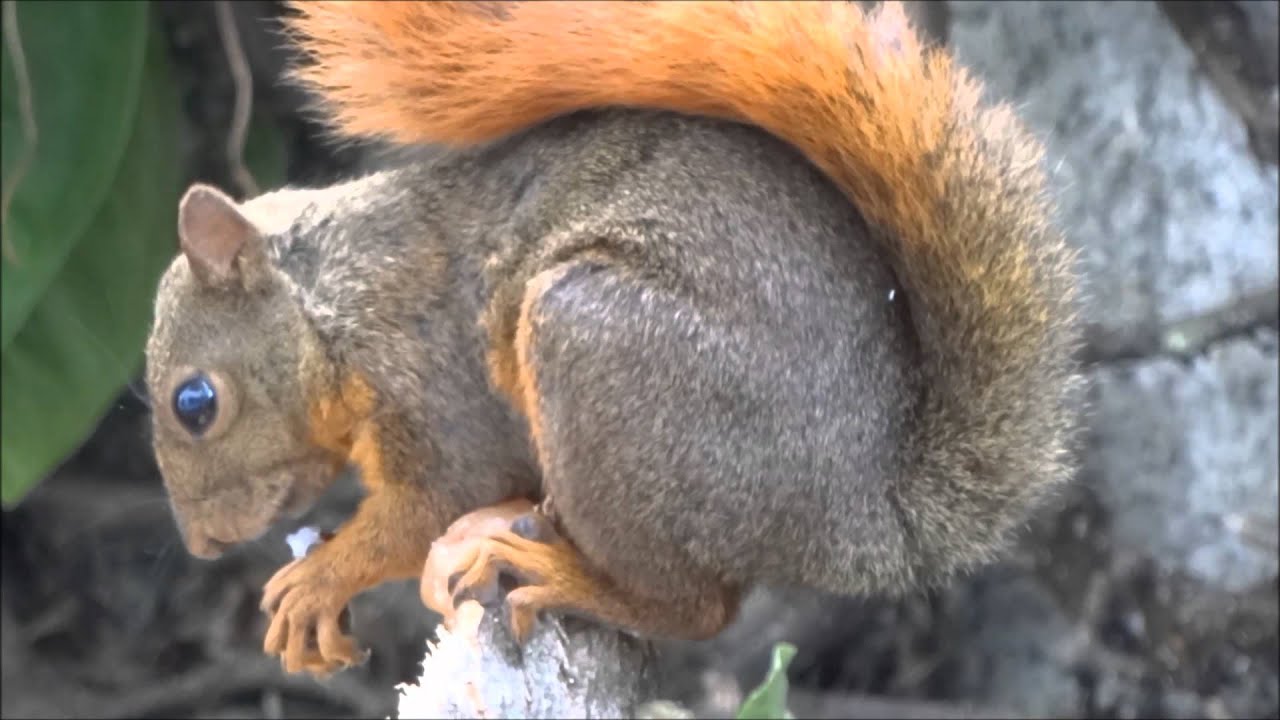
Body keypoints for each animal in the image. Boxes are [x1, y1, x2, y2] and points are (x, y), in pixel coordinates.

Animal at [144, 0, 1083, 676]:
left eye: (195, 403)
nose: (199, 545)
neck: (333, 307)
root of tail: (871, 513)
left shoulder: (426, 377)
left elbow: (435, 498)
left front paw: (316, 580)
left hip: (598, 357)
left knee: (699, 610)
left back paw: (556, 574)